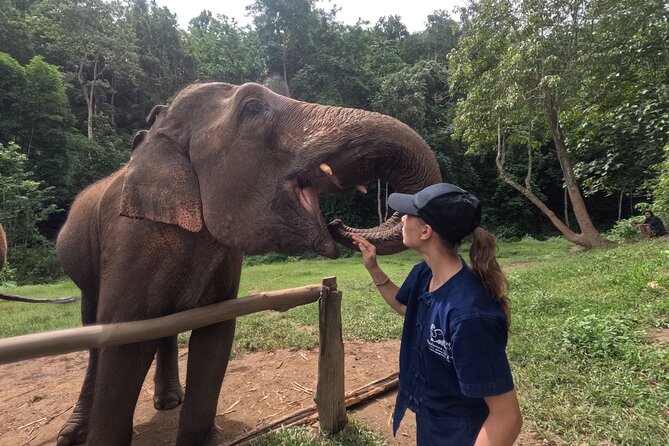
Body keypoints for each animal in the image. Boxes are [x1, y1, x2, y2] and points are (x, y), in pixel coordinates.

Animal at [55, 81, 441, 445]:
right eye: (253, 108)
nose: (337, 224)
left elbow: (214, 335)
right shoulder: (129, 241)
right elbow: (122, 345)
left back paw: (169, 402)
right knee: (93, 326)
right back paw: (73, 431)